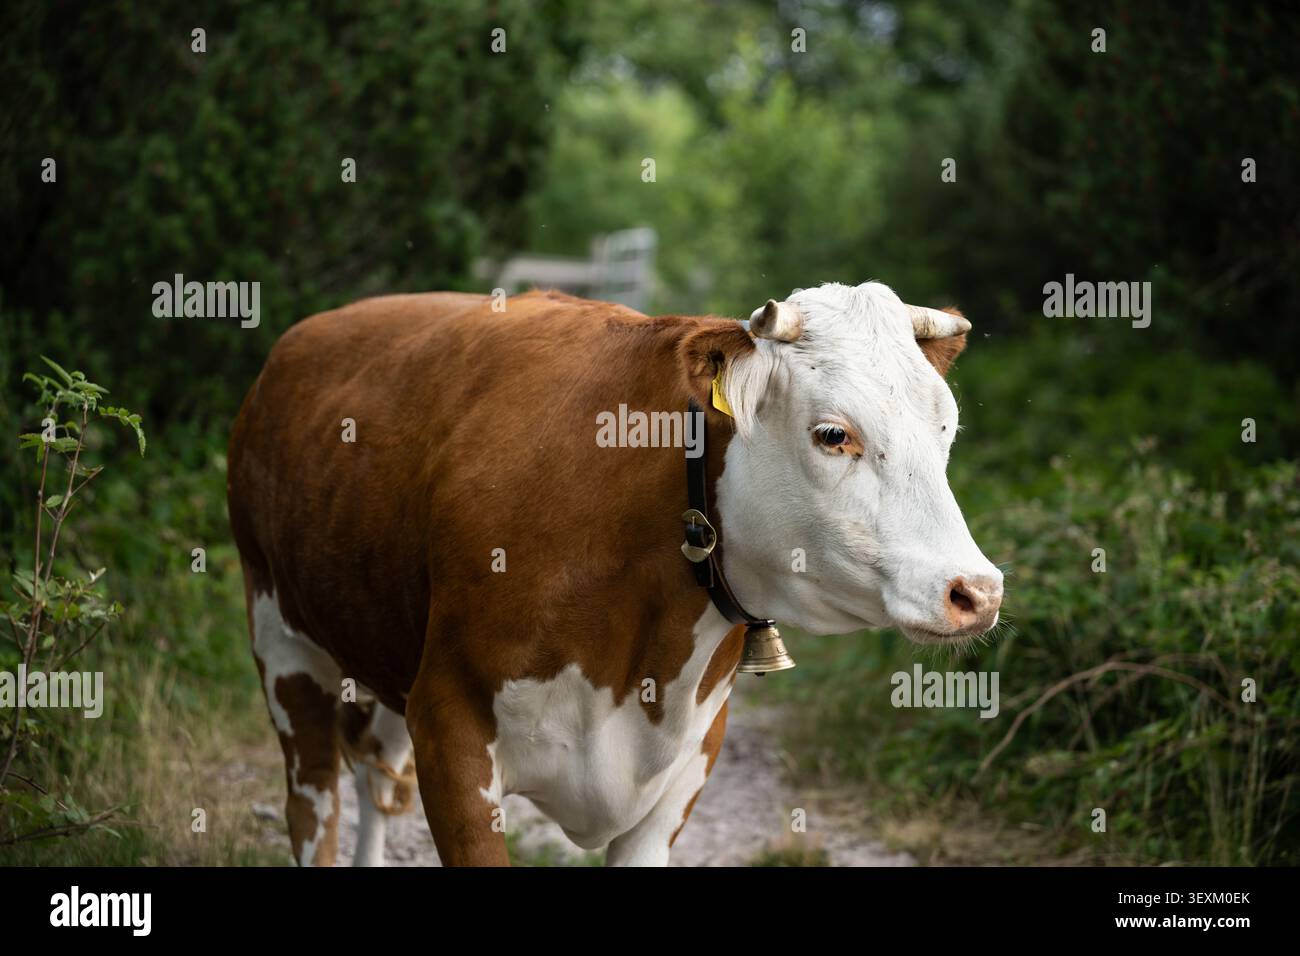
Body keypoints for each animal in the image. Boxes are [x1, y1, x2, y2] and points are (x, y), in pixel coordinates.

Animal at [226, 281, 1003, 867]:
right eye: (833, 434)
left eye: (946, 429)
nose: (978, 590)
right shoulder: (450, 726)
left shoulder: (685, 766)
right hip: (281, 642)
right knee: (314, 800)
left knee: (372, 774)